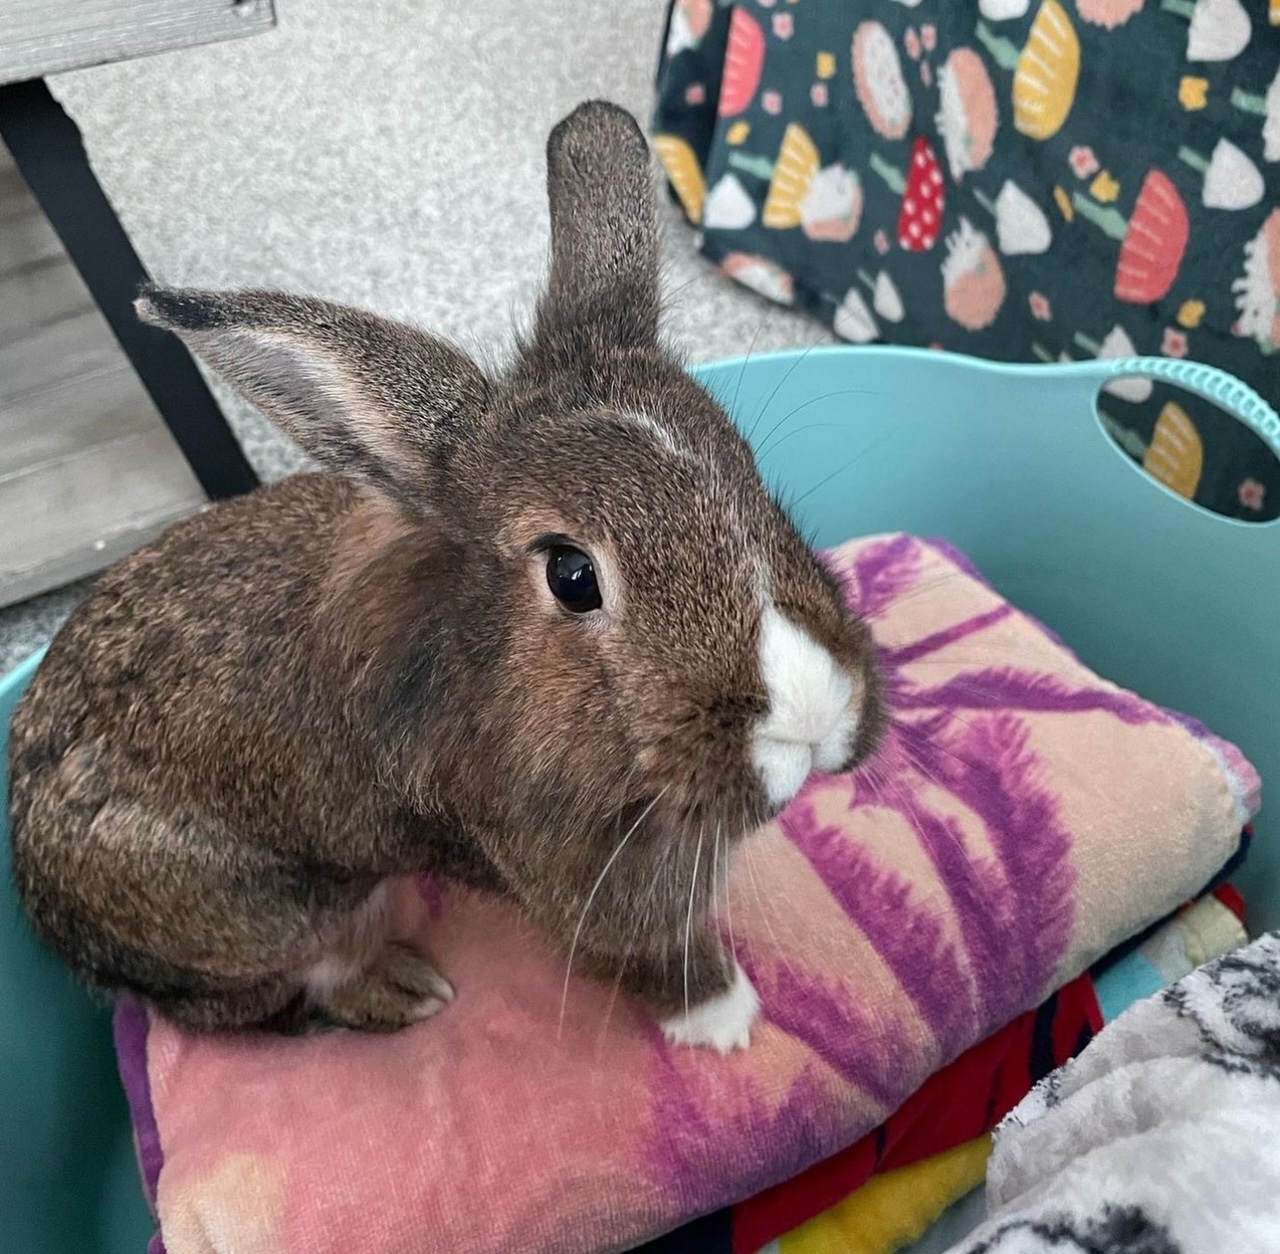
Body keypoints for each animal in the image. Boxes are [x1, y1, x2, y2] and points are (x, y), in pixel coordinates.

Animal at [8, 100, 884, 1052]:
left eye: (751, 475)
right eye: (572, 574)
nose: (812, 711)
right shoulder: (576, 876)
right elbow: (647, 950)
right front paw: (726, 1023)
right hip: (263, 917)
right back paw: (406, 991)